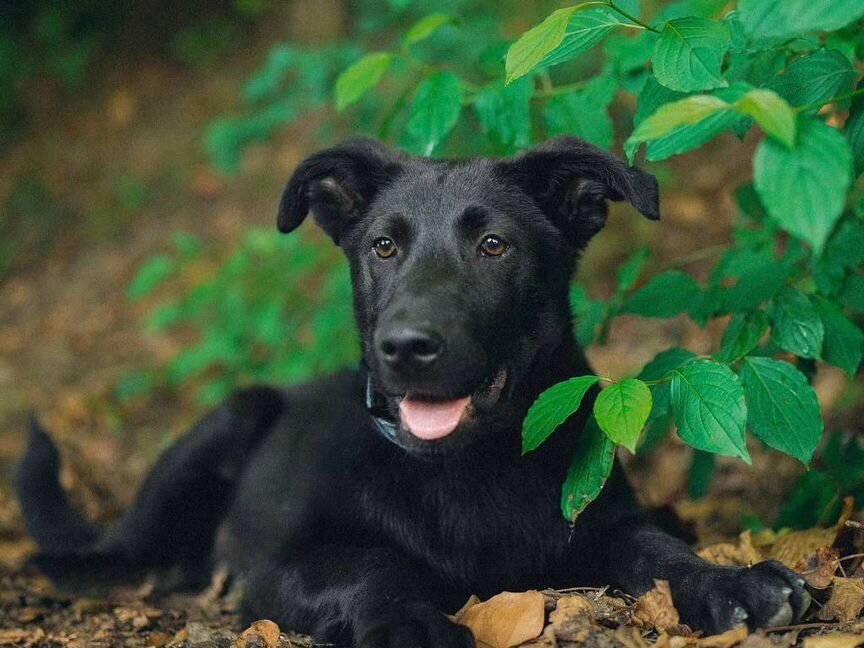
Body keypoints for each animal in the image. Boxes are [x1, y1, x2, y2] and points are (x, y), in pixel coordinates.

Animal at [15, 138, 808, 648]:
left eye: (494, 246)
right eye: (383, 247)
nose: (405, 348)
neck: (467, 469)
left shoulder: (602, 523)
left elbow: (660, 552)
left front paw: (732, 584)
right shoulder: (285, 562)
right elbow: (373, 567)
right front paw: (411, 621)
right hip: (230, 419)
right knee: (114, 547)